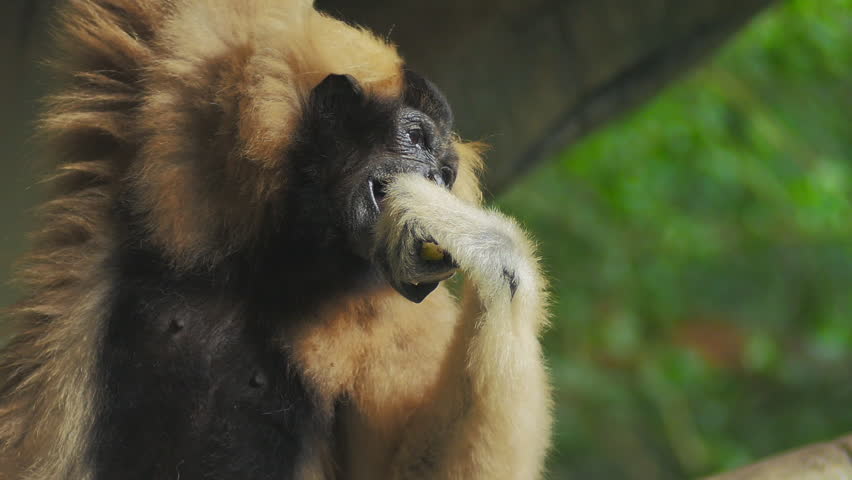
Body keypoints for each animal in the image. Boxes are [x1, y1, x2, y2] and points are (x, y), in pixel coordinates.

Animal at [0, 1, 551, 479]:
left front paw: (488, 247)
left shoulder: (398, 317)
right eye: (415, 138)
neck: (276, 259)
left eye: (446, 173)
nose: (435, 179)